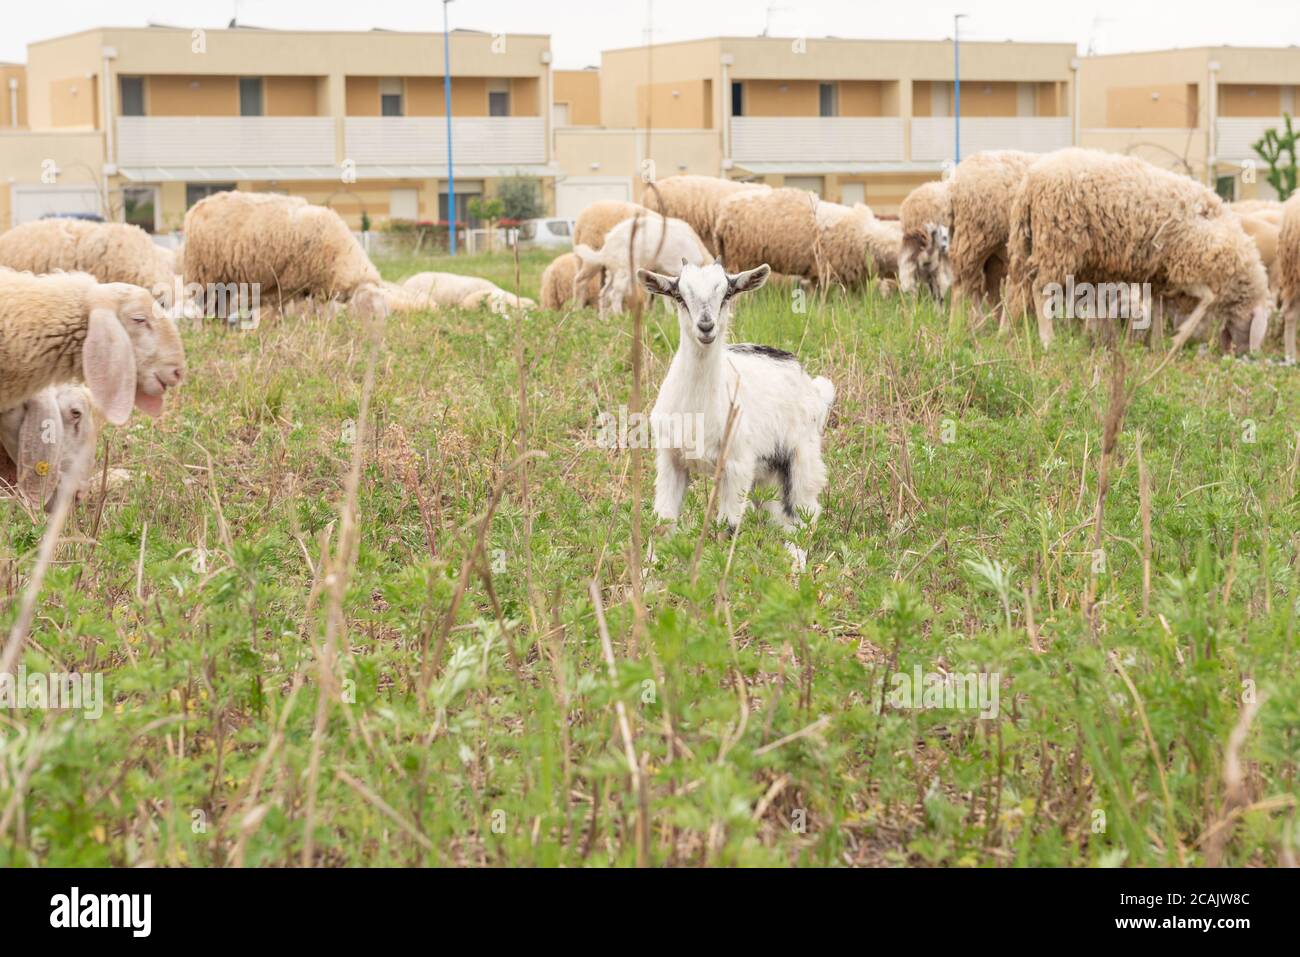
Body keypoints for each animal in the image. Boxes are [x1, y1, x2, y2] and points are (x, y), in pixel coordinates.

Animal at [179, 190, 387, 320]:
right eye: (368, 311)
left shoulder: (312, 289)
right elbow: (290, 310)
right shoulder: (291, 283)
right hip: (204, 272)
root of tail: (198, 206)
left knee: (221, 305)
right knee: (205, 305)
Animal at [573, 213, 711, 316]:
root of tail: (607, 246)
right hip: (624, 270)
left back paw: (605, 319)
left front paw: (670, 314)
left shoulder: (664, 272)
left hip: (613, 271)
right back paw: (619, 316)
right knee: (615, 295)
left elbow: (666, 296)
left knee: (604, 294)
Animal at [637, 261, 834, 552]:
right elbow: (663, 524)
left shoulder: (737, 463)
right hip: (765, 473)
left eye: (727, 294)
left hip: (801, 459)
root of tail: (815, 388)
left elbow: (727, 528)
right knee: (778, 515)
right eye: (679, 296)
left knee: (802, 518)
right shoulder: (671, 458)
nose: (706, 326)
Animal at [1006, 148, 1270, 354]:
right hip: (1058, 242)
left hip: (1027, 240)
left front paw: (1158, 345)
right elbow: (1207, 297)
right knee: (1039, 288)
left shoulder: (1162, 275)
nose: (1241, 354)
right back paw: (1047, 340)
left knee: (1018, 287)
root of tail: (1031, 180)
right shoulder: (1185, 266)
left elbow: (1158, 309)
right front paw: (1178, 338)